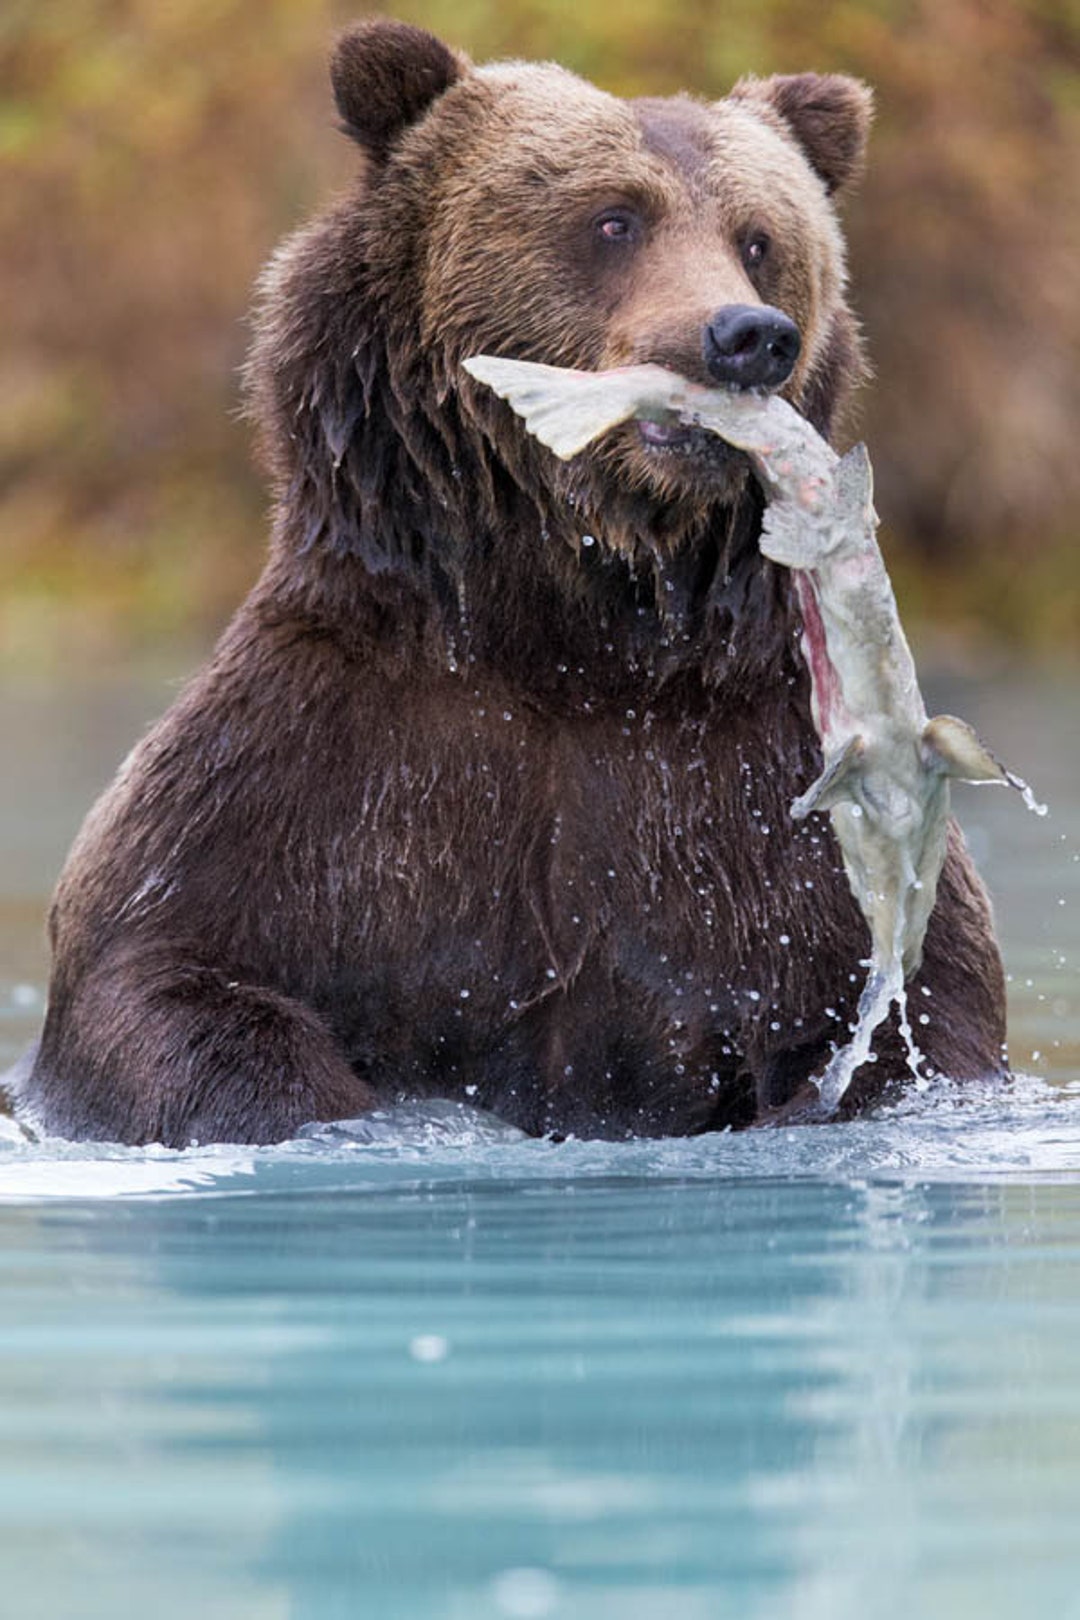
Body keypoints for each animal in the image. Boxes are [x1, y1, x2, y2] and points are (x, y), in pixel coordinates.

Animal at [19, 19, 1007, 1148]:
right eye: (614, 218)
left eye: (760, 239)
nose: (746, 335)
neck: (572, 635)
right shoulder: (321, 774)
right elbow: (163, 974)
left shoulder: (755, 798)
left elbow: (914, 1018)